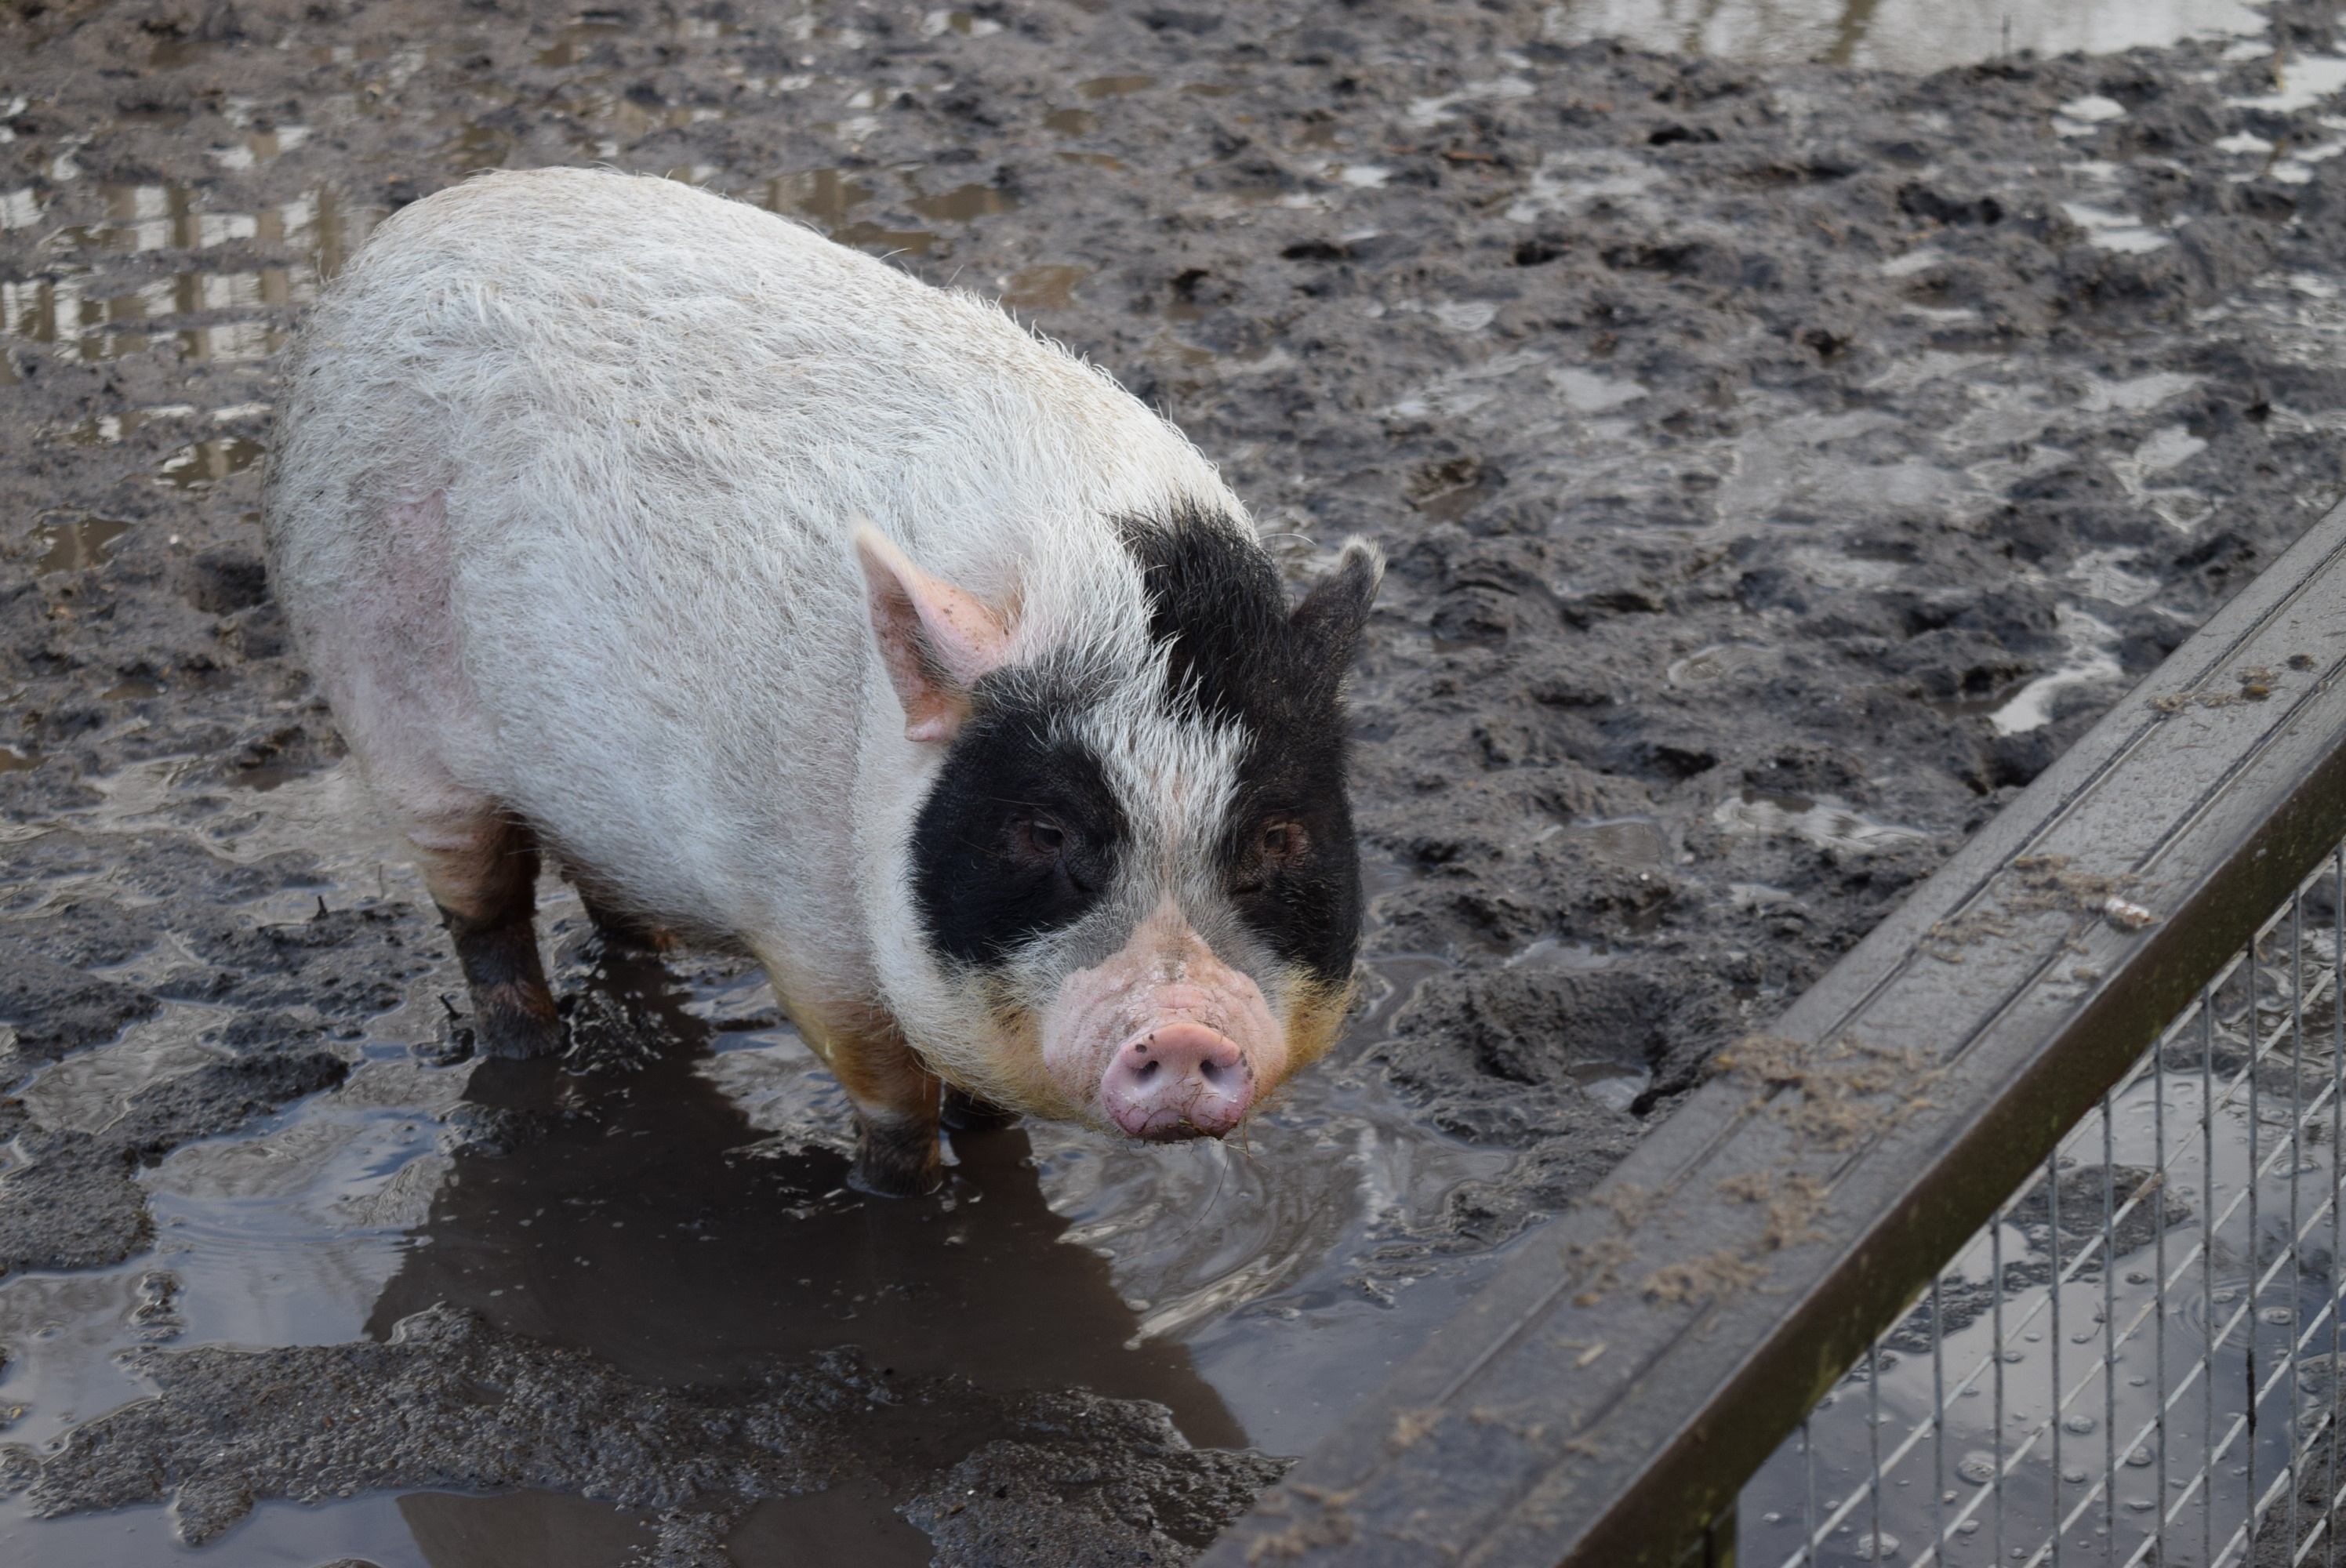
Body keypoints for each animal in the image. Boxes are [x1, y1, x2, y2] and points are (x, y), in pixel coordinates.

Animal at [263, 168, 1381, 1194]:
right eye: (1044, 830)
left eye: (1277, 835)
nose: (1186, 1033)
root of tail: (390, 242)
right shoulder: (813, 940)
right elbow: (891, 1101)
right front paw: (901, 1198)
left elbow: (982, 1107)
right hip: (381, 691)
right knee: (483, 915)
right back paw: (528, 1059)